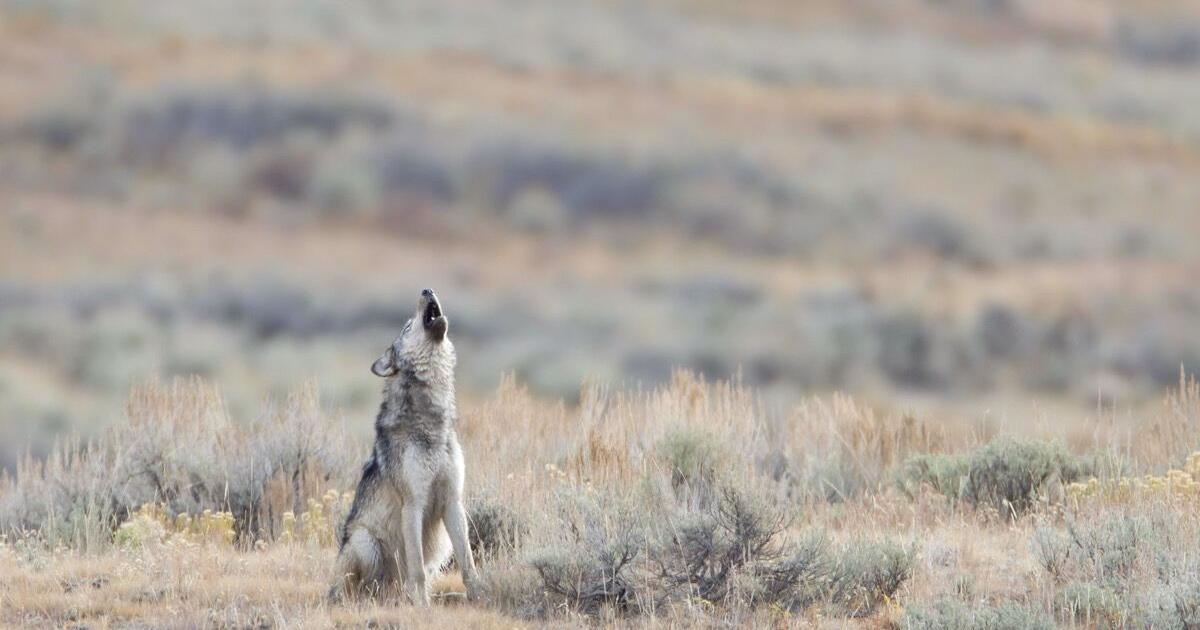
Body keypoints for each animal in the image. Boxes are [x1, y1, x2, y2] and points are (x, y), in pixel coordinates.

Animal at [329, 288, 478, 605]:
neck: (430, 422)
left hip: (441, 545)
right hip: (364, 541)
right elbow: (417, 570)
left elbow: (469, 564)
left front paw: (481, 595)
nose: (427, 289)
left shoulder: (453, 502)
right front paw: (422, 608)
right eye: (407, 327)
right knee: (361, 588)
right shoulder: (413, 504)